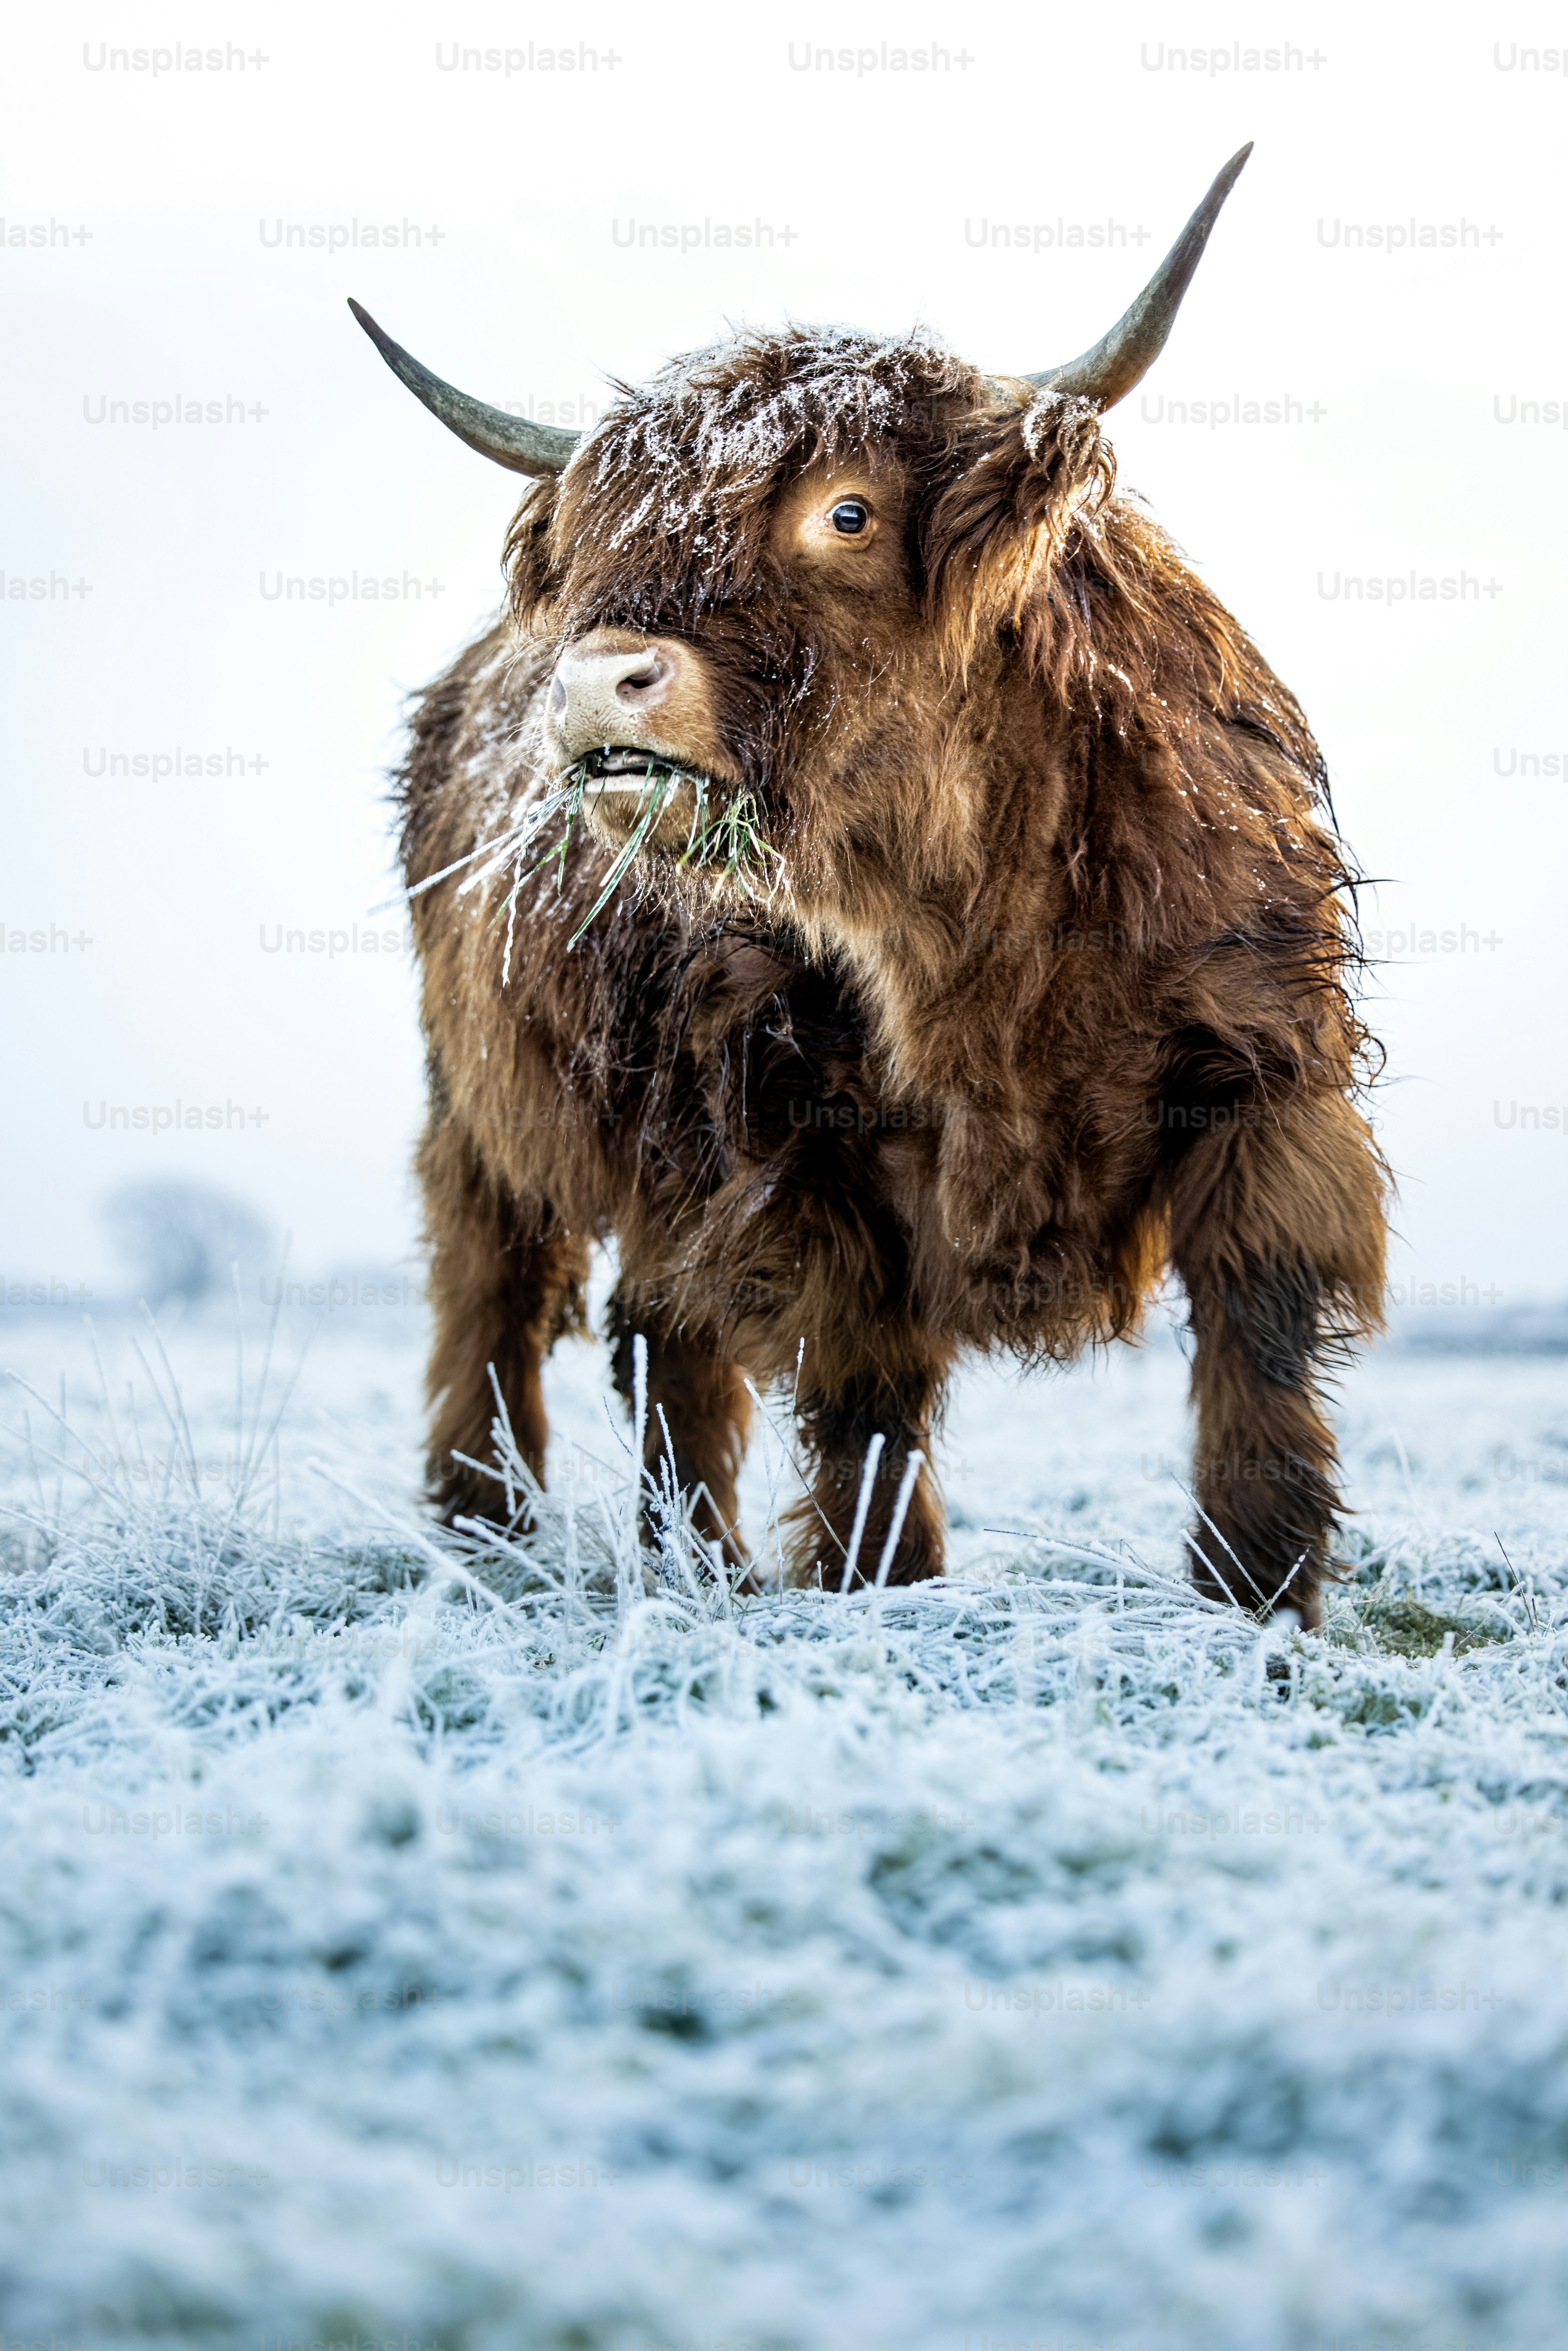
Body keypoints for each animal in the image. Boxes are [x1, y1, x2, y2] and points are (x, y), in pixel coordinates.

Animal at [351, 146, 1387, 1628]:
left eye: (845, 511)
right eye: (600, 537)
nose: (595, 680)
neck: (970, 937)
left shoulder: (1261, 1078)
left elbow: (1261, 1340)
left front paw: (1258, 1598)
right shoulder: (790, 1138)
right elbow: (865, 1383)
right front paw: (879, 1582)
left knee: (661, 1336)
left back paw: (693, 1566)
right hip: (486, 1114)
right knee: (494, 1302)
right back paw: (486, 1532)